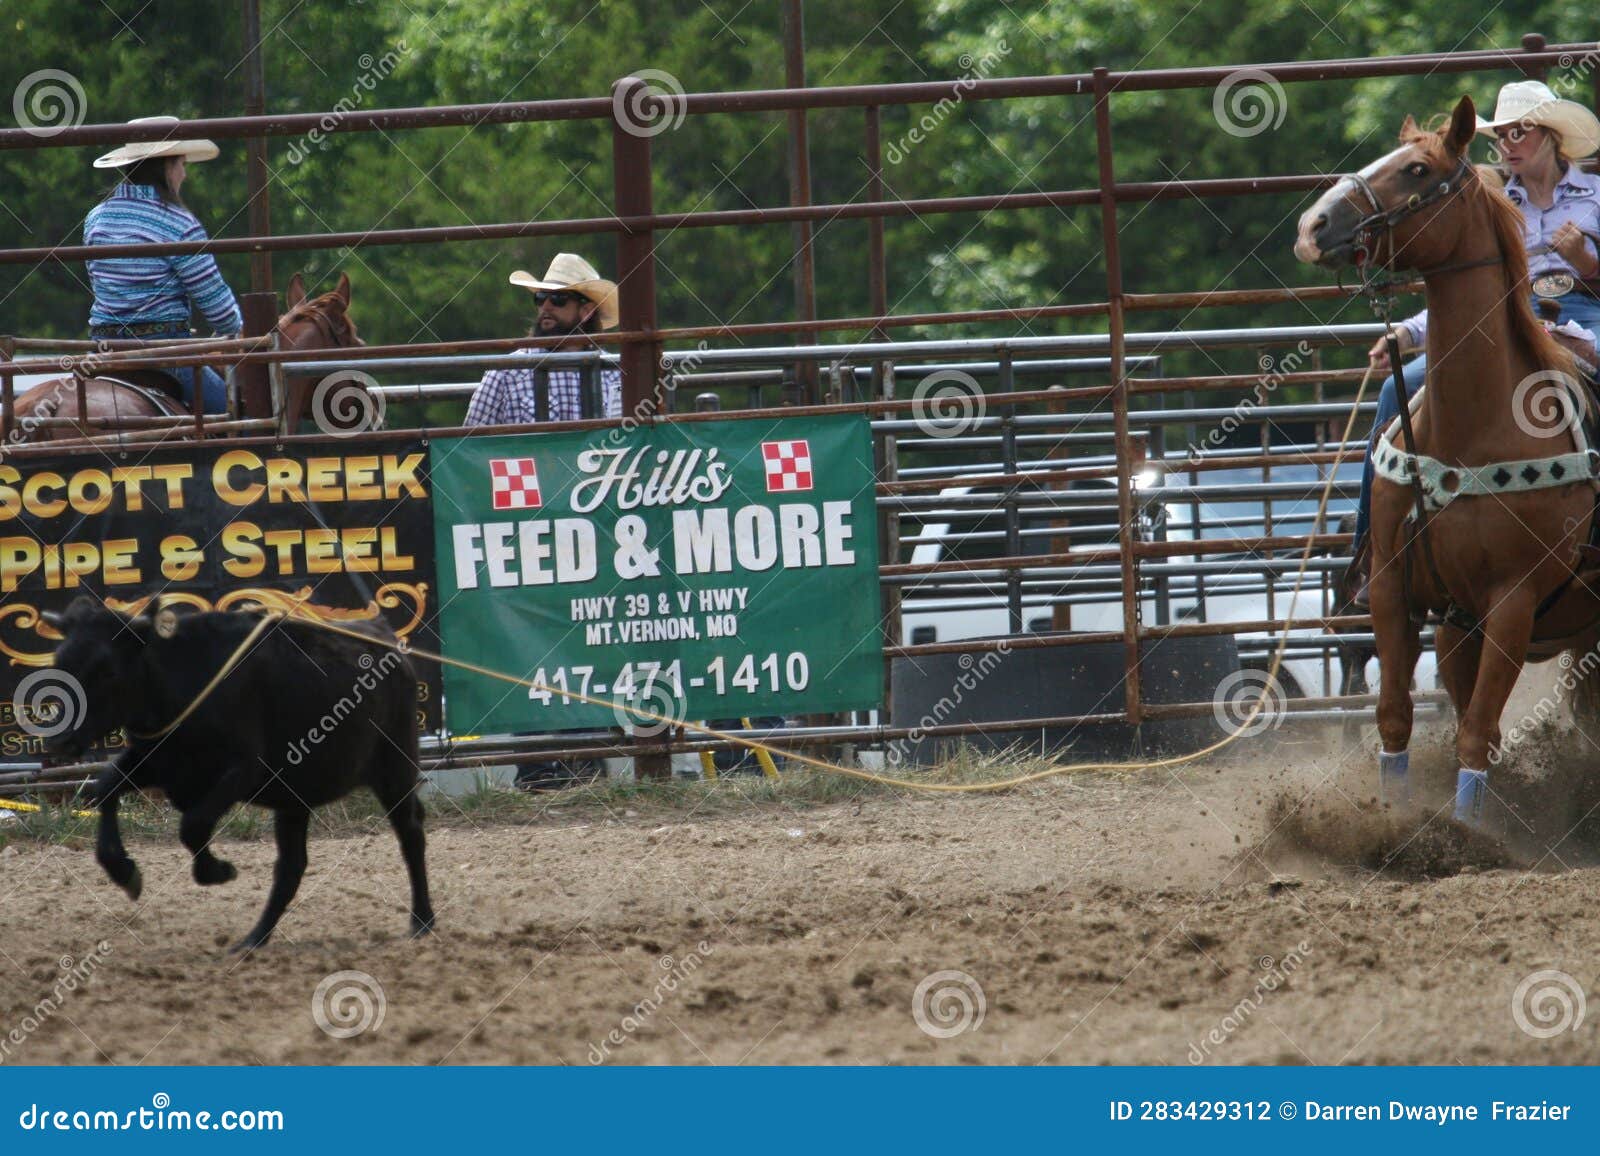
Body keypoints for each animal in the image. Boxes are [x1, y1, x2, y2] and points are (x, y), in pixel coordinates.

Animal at [1294, 94, 1600, 828]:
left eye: (1417, 168)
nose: (1313, 225)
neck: (1472, 425)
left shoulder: (1513, 603)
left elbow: (1476, 733)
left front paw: (1465, 837)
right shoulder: (1396, 591)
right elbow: (1396, 718)